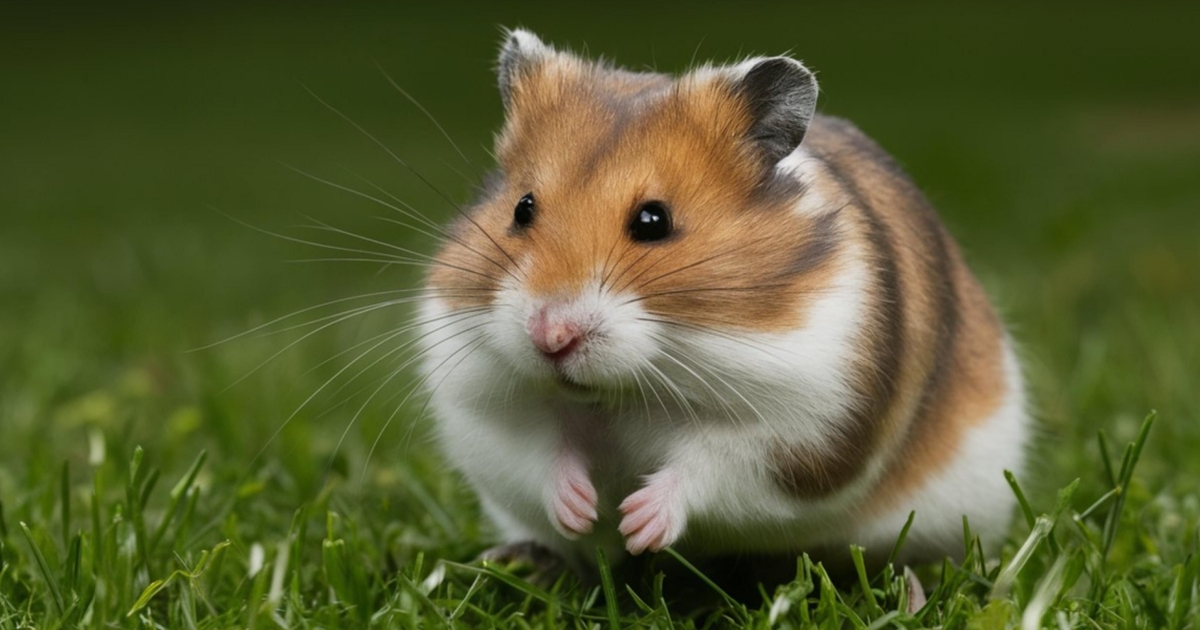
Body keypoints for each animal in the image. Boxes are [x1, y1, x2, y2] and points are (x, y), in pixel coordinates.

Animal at [415, 30, 1029, 569]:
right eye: (522, 208)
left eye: (653, 221)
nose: (550, 337)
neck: (624, 391)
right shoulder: (481, 411)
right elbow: (535, 452)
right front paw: (583, 515)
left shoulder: (805, 430)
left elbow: (714, 467)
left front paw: (638, 526)